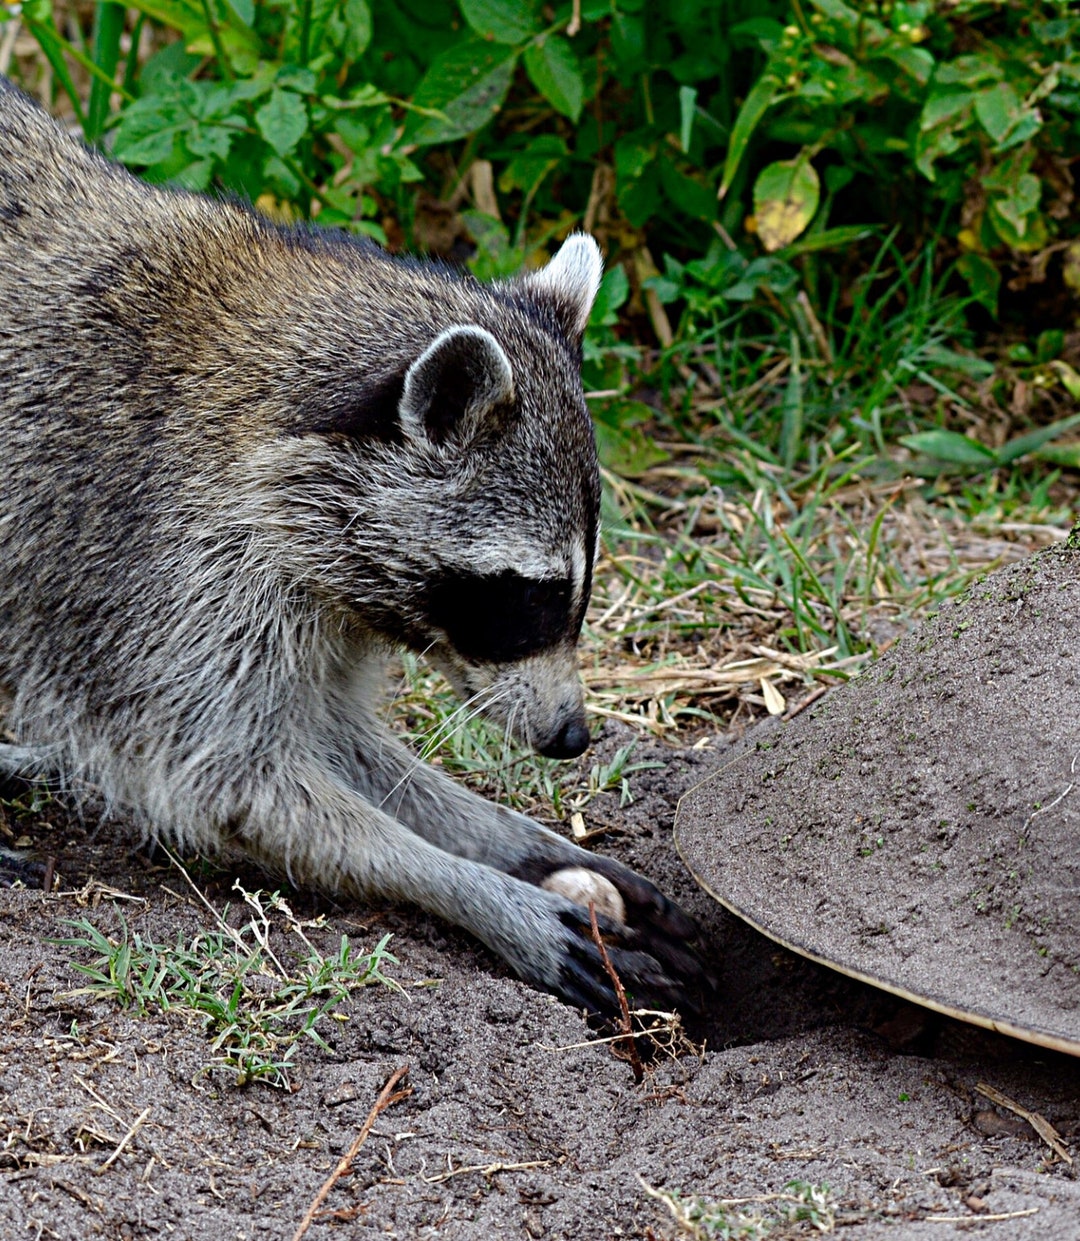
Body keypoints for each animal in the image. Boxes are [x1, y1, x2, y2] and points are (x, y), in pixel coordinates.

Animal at [0, 78, 700, 1013]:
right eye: (531, 596)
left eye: (575, 594)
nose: (571, 737)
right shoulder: (159, 561)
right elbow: (231, 781)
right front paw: (485, 893)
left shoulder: (307, 584)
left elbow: (335, 735)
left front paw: (514, 841)